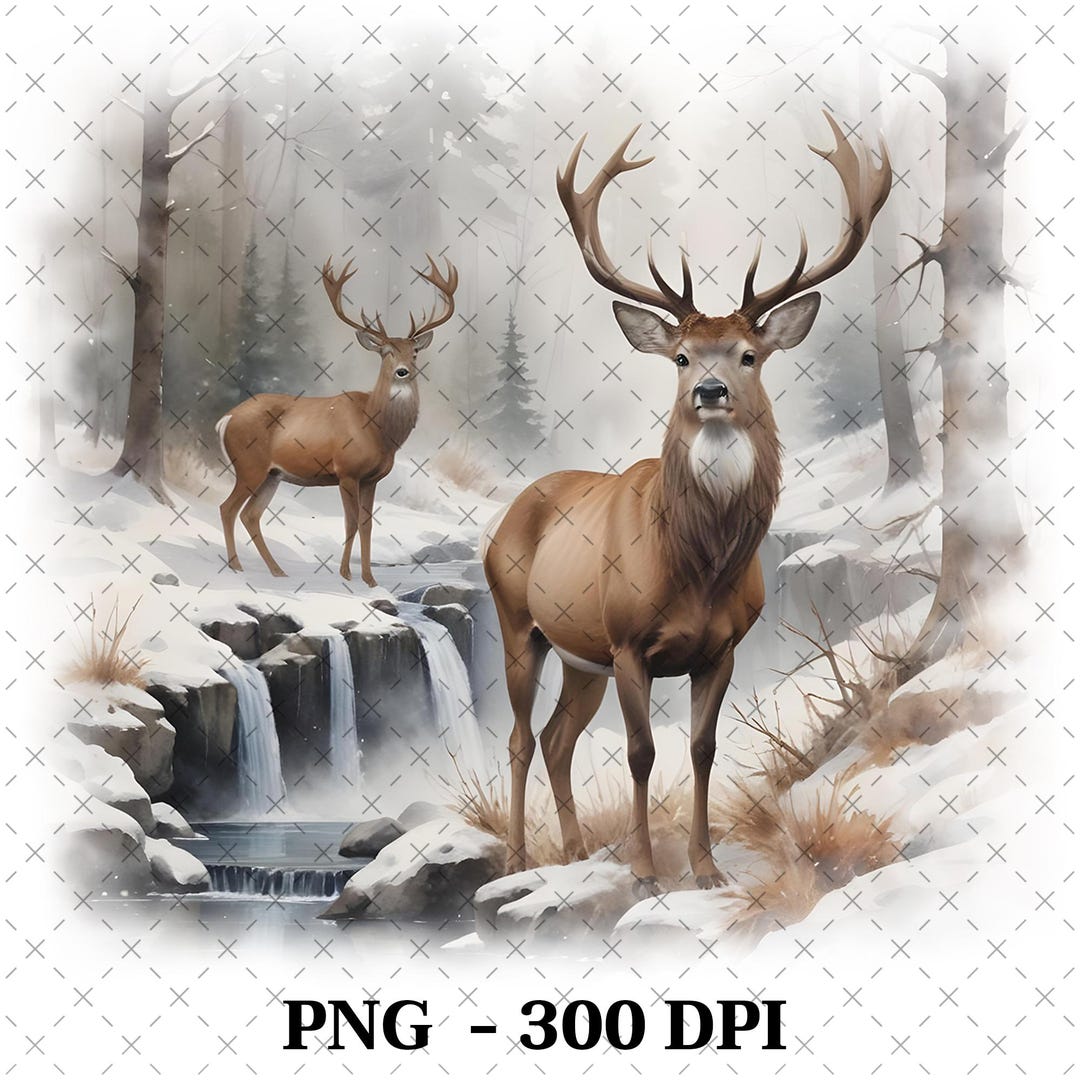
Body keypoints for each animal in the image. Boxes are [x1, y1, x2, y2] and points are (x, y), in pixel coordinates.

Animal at [216, 254, 459, 586]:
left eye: (415, 353)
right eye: (385, 352)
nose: (403, 372)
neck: (378, 430)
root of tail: (225, 418)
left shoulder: (371, 478)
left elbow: (368, 524)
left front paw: (370, 579)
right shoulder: (346, 471)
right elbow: (351, 522)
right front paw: (346, 575)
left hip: (271, 475)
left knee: (249, 514)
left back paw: (277, 571)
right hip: (249, 465)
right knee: (227, 508)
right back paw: (237, 567)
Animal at [482, 113, 891, 892]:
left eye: (748, 354)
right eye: (680, 356)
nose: (709, 390)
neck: (697, 565)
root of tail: (510, 513)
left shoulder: (721, 647)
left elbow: (702, 749)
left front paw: (705, 868)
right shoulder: (628, 642)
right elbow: (641, 752)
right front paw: (644, 868)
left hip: (581, 656)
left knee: (555, 738)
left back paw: (573, 852)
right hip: (522, 622)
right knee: (519, 737)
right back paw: (518, 858)